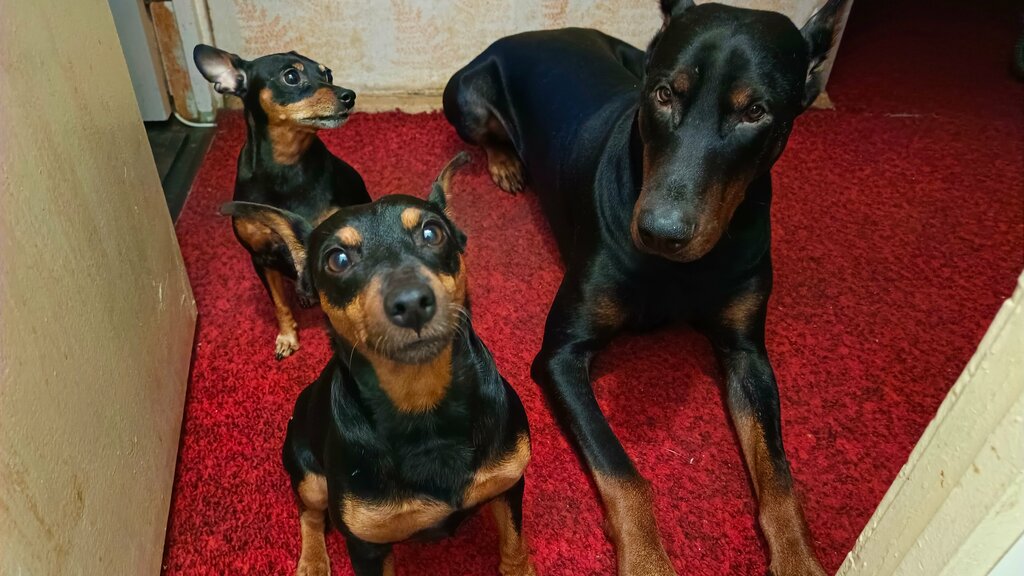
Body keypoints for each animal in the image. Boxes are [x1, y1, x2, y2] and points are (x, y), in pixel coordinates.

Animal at [194, 44, 371, 360]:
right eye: (291, 76)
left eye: (328, 74)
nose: (349, 95)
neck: (285, 167)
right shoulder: (260, 257)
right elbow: (278, 304)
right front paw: (287, 337)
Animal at [222, 153, 536, 576]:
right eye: (337, 259)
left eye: (432, 233)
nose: (411, 302)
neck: (421, 400)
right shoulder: (366, 545)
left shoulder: (508, 483)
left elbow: (514, 550)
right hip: (307, 473)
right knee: (310, 513)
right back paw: (313, 562)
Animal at [443, 1, 847, 574]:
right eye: (663, 95)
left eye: (756, 112)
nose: (661, 231)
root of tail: (539, 31)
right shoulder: (560, 356)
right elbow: (622, 472)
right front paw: (648, 560)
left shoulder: (747, 353)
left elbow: (779, 473)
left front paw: (798, 558)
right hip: (465, 95)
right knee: (485, 132)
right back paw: (505, 162)